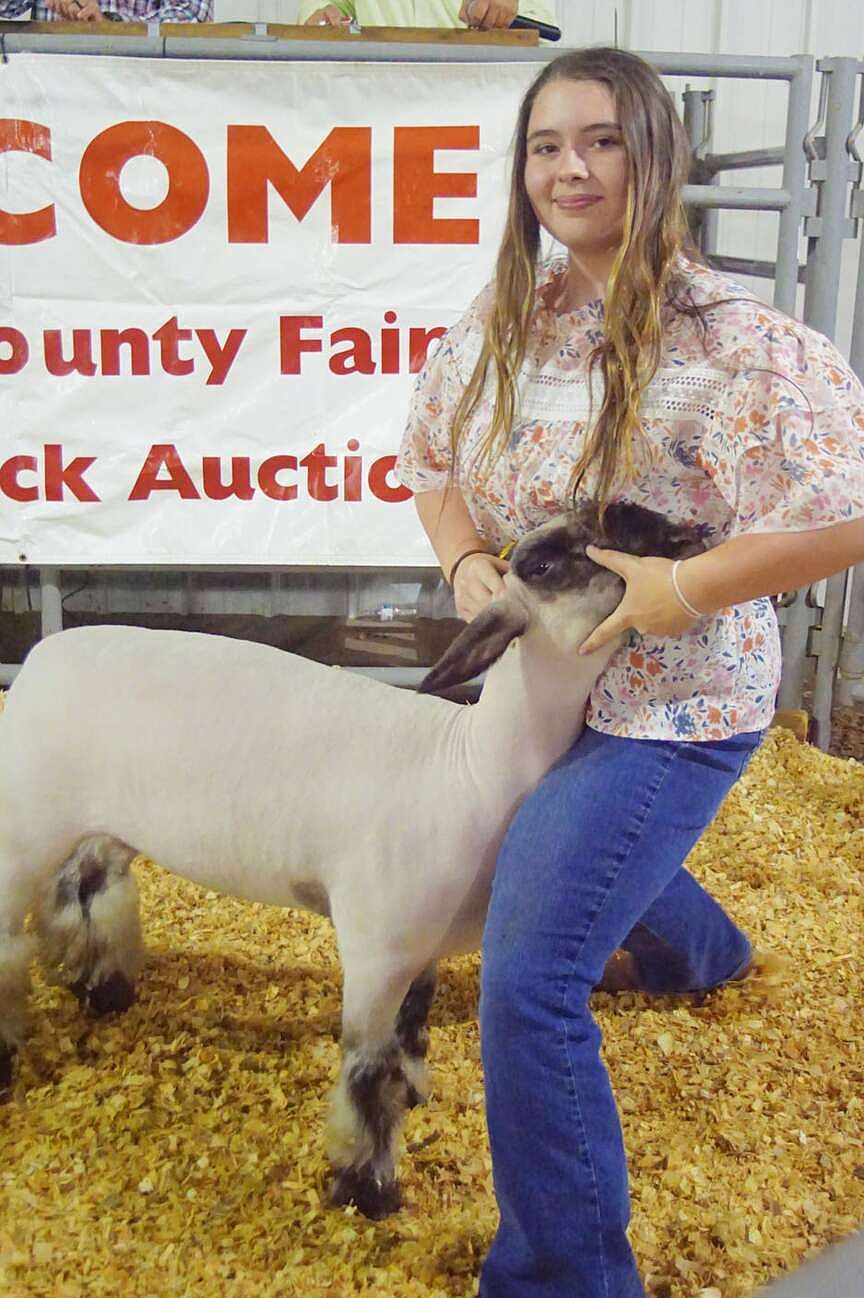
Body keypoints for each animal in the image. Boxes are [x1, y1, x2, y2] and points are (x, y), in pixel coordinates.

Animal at [0, 501, 701, 1219]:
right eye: (542, 562)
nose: (663, 525)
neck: (473, 768)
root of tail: (42, 655)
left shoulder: (420, 943)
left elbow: (414, 1026)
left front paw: (415, 1092)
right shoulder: (378, 946)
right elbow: (366, 1070)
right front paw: (368, 1186)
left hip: (105, 819)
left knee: (86, 883)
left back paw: (101, 986)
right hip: (23, 823)